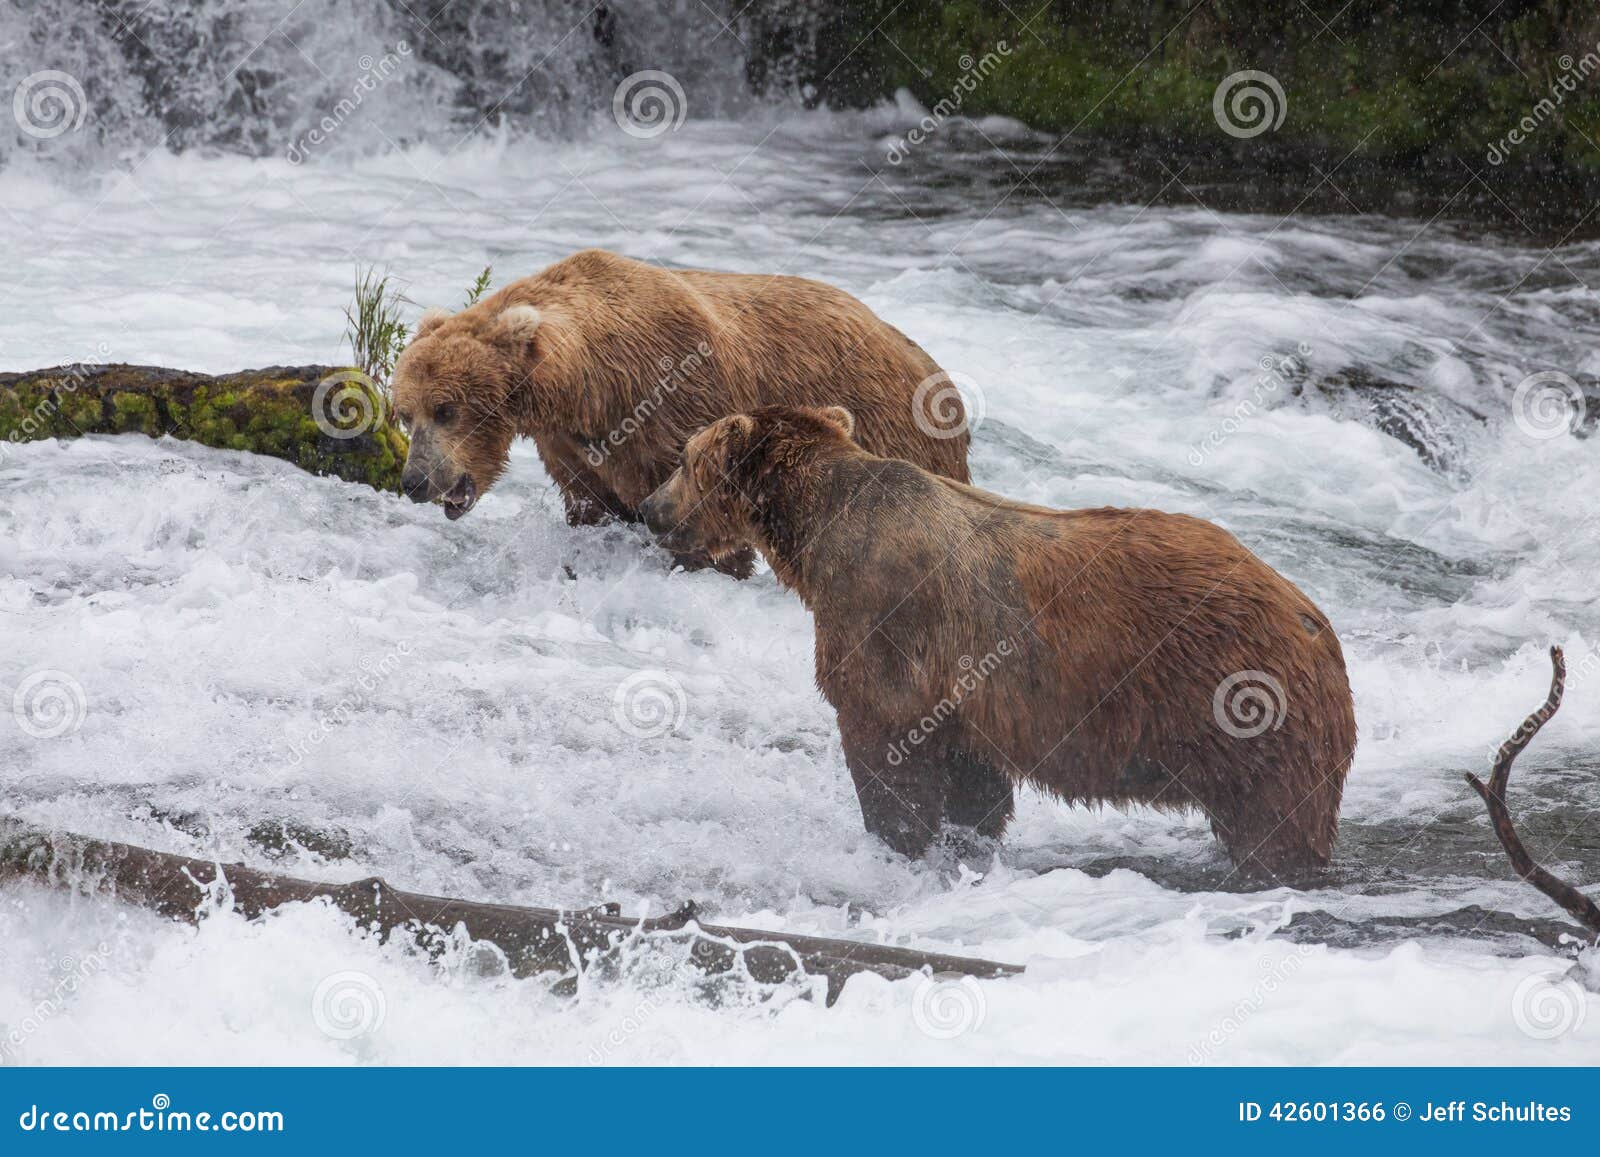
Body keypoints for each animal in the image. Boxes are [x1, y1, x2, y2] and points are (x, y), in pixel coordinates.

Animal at [389, 249, 970, 574]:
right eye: (404, 413)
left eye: (445, 409)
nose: (415, 480)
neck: (590, 387)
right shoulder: (574, 446)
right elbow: (590, 504)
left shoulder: (677, 406)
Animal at [638, 405, 1357, 875]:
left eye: (684, 457)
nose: (649, 507)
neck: (819, 532)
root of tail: (1313, 618)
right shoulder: (963, 691)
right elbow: (972, 779)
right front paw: (965, 844)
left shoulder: (883, 621)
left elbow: (884, 745)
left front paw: (896, 843)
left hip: (1244, 705)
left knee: (1274, 819)